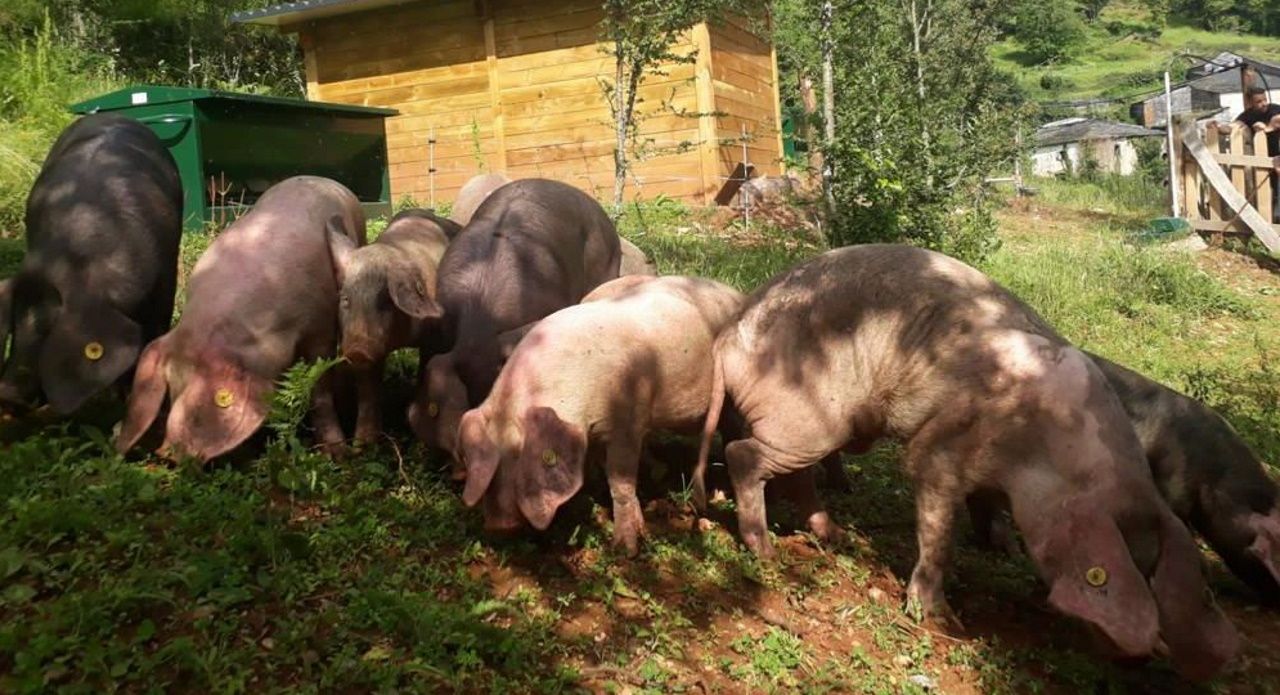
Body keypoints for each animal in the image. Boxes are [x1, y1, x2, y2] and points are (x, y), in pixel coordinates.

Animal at [116, 176, 367, 463]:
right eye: (171, 390)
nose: (165, 454)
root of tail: (321, 178)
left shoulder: (319, 328)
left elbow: (320, 389)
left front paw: (337, 455)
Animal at [336, 208, 460, 442]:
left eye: (385, 301)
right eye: (346, 300)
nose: (357, 350)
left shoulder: (435, 336)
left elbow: (427, 367)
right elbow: (368, 389)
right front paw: (363, 443)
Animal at [459, 275, 744, 555]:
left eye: (519, 454)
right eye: (492, 455)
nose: (498, 526)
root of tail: (735, 293)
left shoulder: (628, 420)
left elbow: (620, 481)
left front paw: (624, 550)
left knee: (733, 435)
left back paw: (719, 495)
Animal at [695, 244, 1238, 681]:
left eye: (1153, 571)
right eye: (1111, 569)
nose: (1137, 658)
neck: (1046, 454)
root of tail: (728, 335)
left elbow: (986, 509)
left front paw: (1003, 547)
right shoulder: (943, 447)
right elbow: (937, 526)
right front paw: (941, 619)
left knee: (796, 478)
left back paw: (835, 537)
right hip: (809, 421)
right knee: (745, 456)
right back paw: (766, 552)